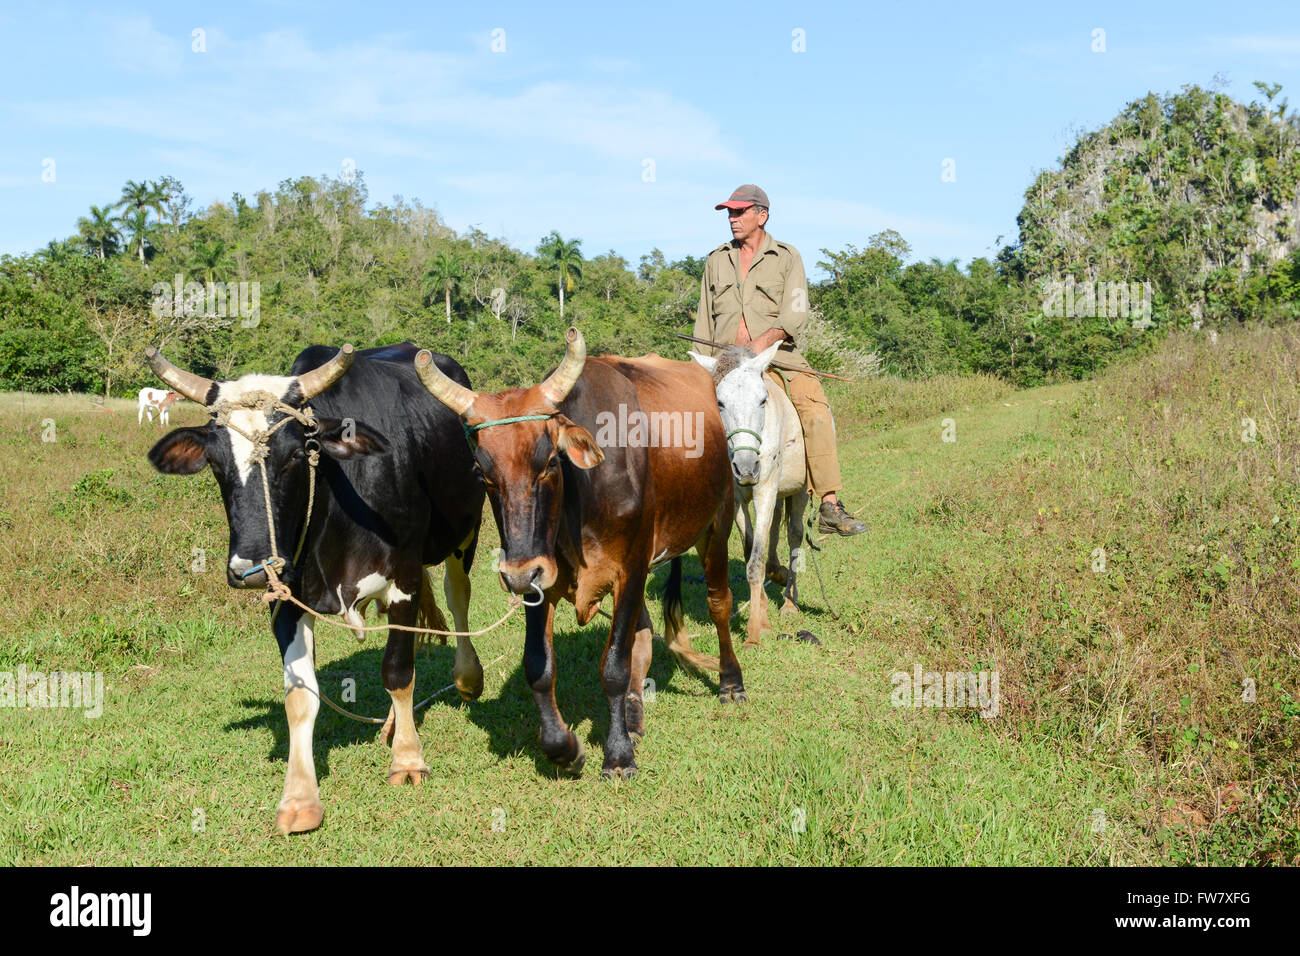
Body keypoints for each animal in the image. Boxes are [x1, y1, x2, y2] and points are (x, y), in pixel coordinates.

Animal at [143, 342, 486, 834]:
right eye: (216, 463)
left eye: (295, 454)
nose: (250, 569)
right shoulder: (285, 600)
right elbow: (300, 697)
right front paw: (300, 797)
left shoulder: (403, 579)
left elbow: (398, 671)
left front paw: (407, 759)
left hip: (466, 532)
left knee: (458, 596)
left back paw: (466, 678)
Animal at [414, 326, 743, 780]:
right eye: (484, 474)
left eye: (551, 463)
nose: (516, 575)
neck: (581, 500)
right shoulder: (542, 579)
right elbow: (539, 666)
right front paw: (566, 749)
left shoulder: (631, 569)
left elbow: (615, 666)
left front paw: (618, 756)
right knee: (643, 633)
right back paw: (634, 716)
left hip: (717, 526)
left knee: (718, 604)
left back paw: (731, 682)